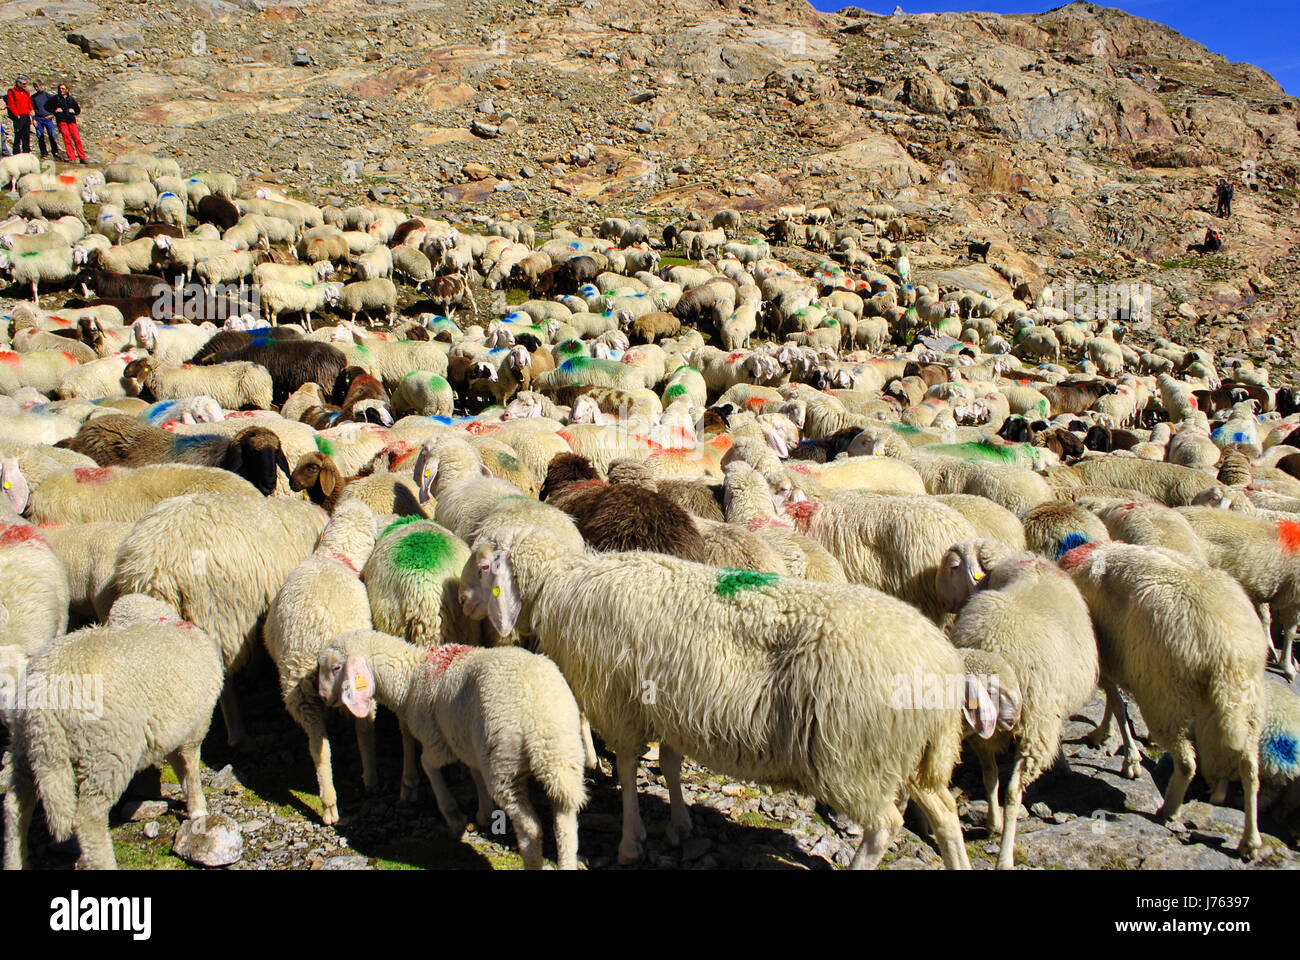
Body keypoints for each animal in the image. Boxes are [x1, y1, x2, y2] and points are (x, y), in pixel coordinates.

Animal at [263, 501, 378, 825]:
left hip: (299, 690)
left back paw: (330, 804)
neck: (333, 557)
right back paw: (361, 784)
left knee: (320, 748)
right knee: (359, 733)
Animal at [319, 629, 587, 868]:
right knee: (565, 826)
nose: (322, 697)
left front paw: (454, 818)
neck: (411, 679)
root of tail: (542, 723)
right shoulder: (469, 743)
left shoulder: (437, 743)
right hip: (564, 759)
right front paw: (483, 813)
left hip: (505, 767)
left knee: (530, 827)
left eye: (336, 668)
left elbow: (427, 764)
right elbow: (475, 774)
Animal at [459, 524, 971, 869]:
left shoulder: (621, 704)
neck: (563, 583)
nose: (462, 602)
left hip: (856, 757)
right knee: (945, 814)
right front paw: (678, 826)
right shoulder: (668, 703)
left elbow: (626, 770)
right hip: (912, 756)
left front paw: (630, 842)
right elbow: (668, 763)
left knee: (884, 827)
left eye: (484, 568)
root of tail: (943, 666)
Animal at [1060, 540, 1265, 858]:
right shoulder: (1113, 661)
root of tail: (1227, 651)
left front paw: (1124, 753)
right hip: (1250, 703)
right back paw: (1250, 841)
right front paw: (1104, 735)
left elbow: (1117, 705)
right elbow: (1113, 704)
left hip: (1165, 697)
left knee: (1187, 762)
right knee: (1250, 769)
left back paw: (1169, 810)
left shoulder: (1105, 659)